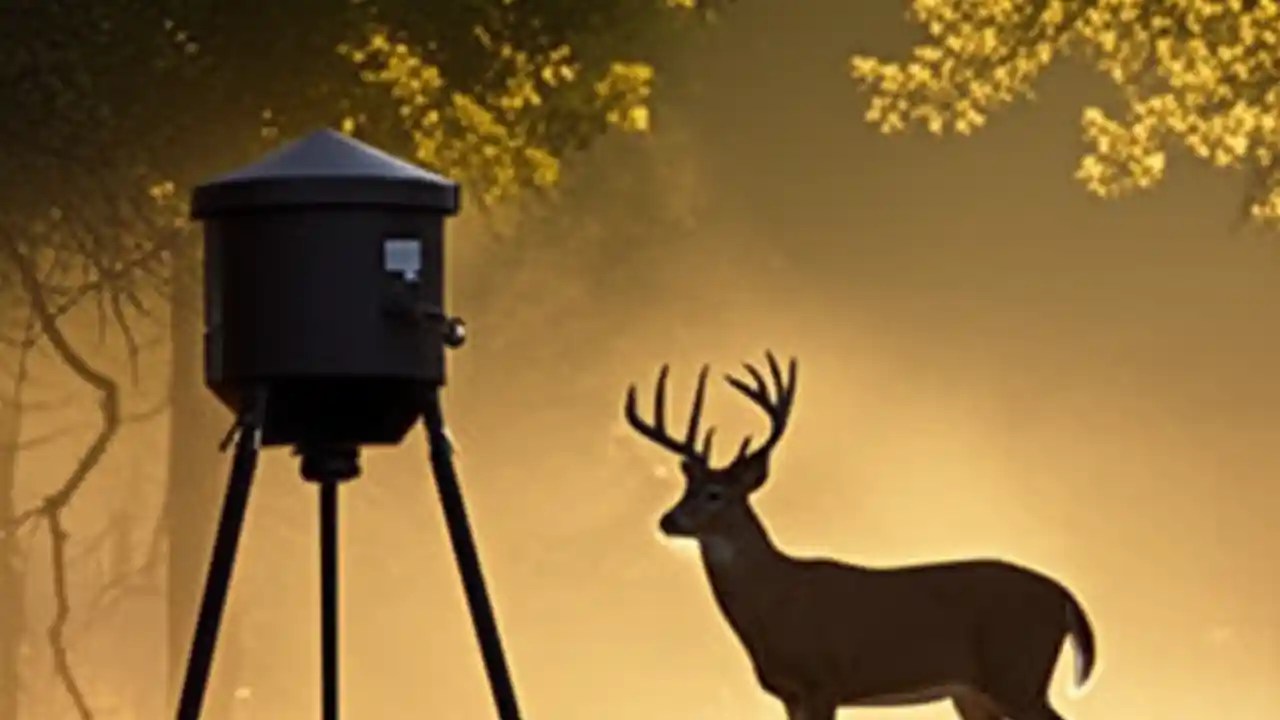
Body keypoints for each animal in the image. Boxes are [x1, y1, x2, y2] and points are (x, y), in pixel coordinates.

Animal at [623, 351, 1097, 720]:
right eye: (684, 488)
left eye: (715, 494)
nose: (668, 520)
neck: (776, 599)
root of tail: (1065, 596)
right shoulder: (790, 694)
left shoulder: (823, 680)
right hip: (975, 693)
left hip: (1017, 674)